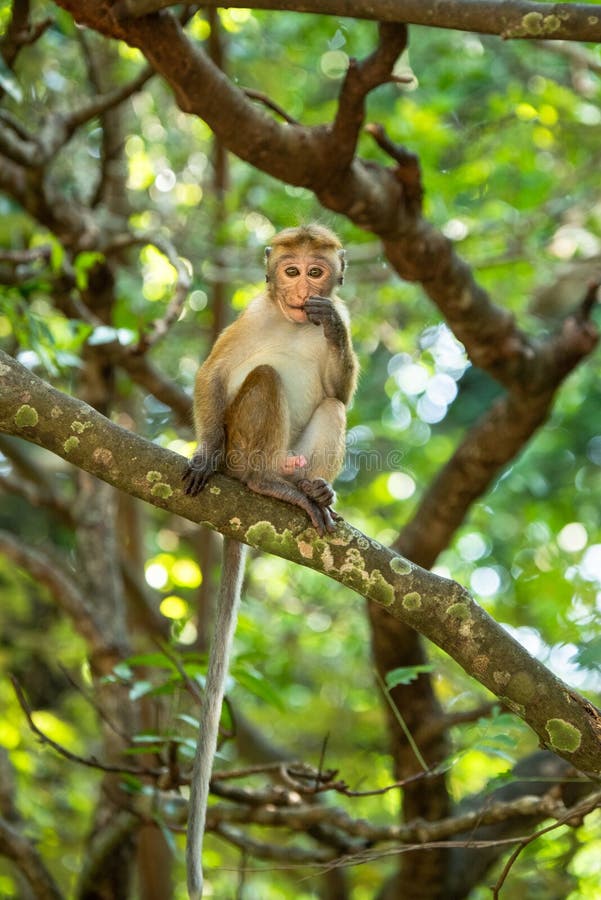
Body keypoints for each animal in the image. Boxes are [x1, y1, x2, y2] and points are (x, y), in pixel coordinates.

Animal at [182, 223, 358, 899]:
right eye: (288, 270)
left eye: (316, 271)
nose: (302, 291)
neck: (288, 319)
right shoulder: (252, 314)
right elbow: (214, 374)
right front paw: (202, 452)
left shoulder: (343, 315)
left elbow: (341, 388)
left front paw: (329, 327)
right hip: (248, 445)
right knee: (258, 378)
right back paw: (263, 483)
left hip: (299, 451)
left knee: (332, 407)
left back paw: (311, 490)